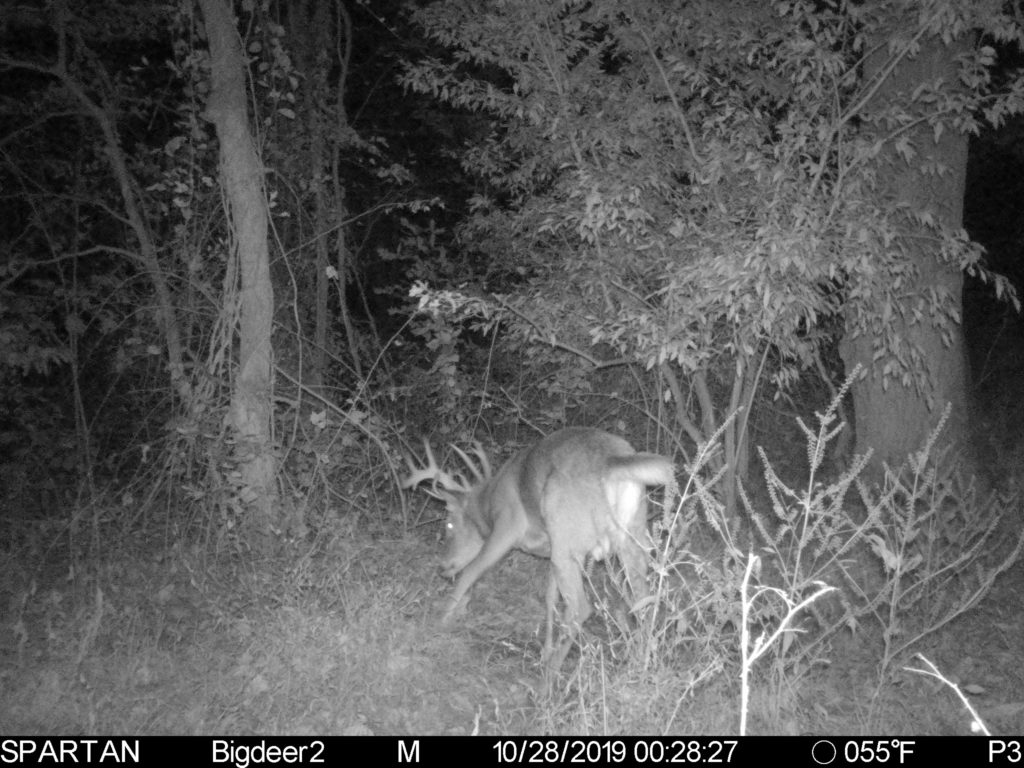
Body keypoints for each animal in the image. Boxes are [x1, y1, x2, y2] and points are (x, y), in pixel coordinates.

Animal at [403, 427, 677, 669]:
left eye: (449, 524)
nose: (442, 567)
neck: (489, 502)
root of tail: (613, 461)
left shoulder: (508, 525)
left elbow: (471, 572)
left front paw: (436, 622)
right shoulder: (551, 548)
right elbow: (550, 598)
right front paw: (545, 650)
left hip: (568, 536)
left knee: (580, 608)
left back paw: (547, 683)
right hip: (630, 535)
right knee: (643, 598)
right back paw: (641, 663)